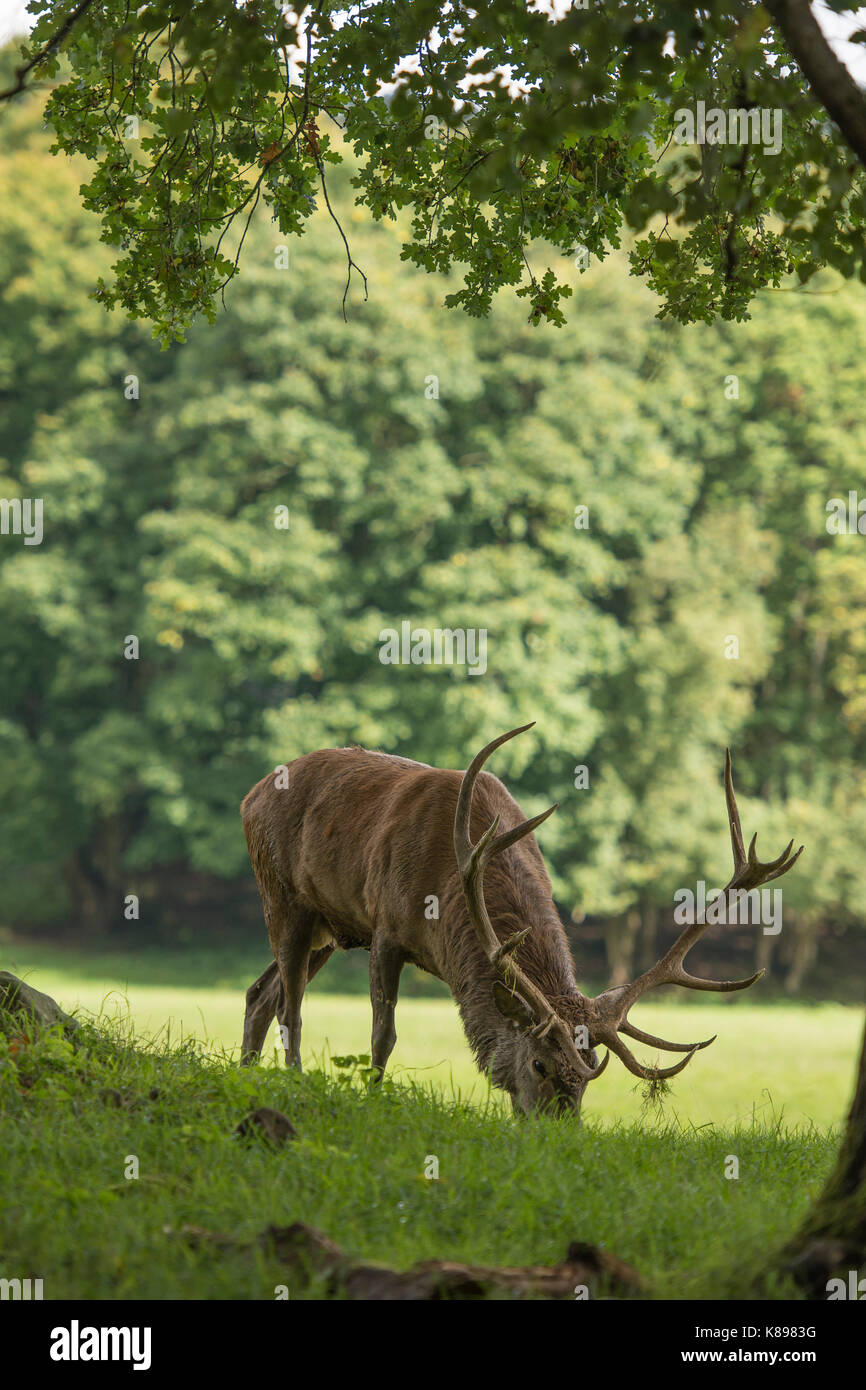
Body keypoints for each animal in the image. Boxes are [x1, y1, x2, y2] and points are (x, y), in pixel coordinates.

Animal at [239, 724, 803, 1116]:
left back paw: (243, 1073)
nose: (560, 1131)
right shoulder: (386, 928)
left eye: (590, 1076)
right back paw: (291, 1080)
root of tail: (251, 794)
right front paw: (374, 1097)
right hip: (282, 894)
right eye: (539, 1064)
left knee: (260, 993)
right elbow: (384, 1033)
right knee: (290, 1006)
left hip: (327, 928)